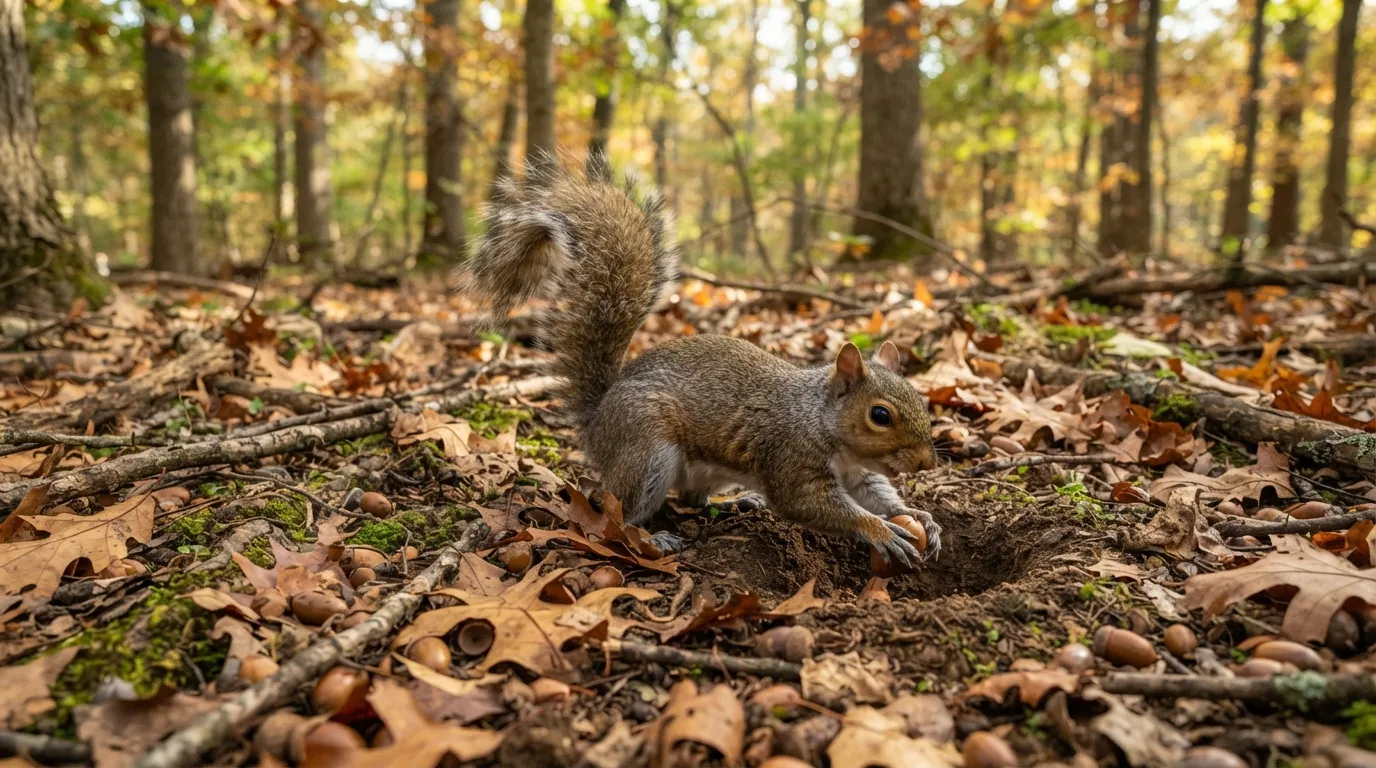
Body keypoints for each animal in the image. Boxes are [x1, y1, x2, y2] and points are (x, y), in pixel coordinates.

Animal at [462, 160, 941, 569]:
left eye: (922, 401)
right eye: (880, 415)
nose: (926, 463)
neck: (819, 418)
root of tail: (597, 419)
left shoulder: (858, 473)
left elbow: (878, 492)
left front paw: (917, 516)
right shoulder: (790, 459)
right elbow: (811, 505)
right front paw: (880, 531)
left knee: (693, 500)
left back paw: (734, 503)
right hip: (648, 450)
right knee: (618, 515)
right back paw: (652, 538)